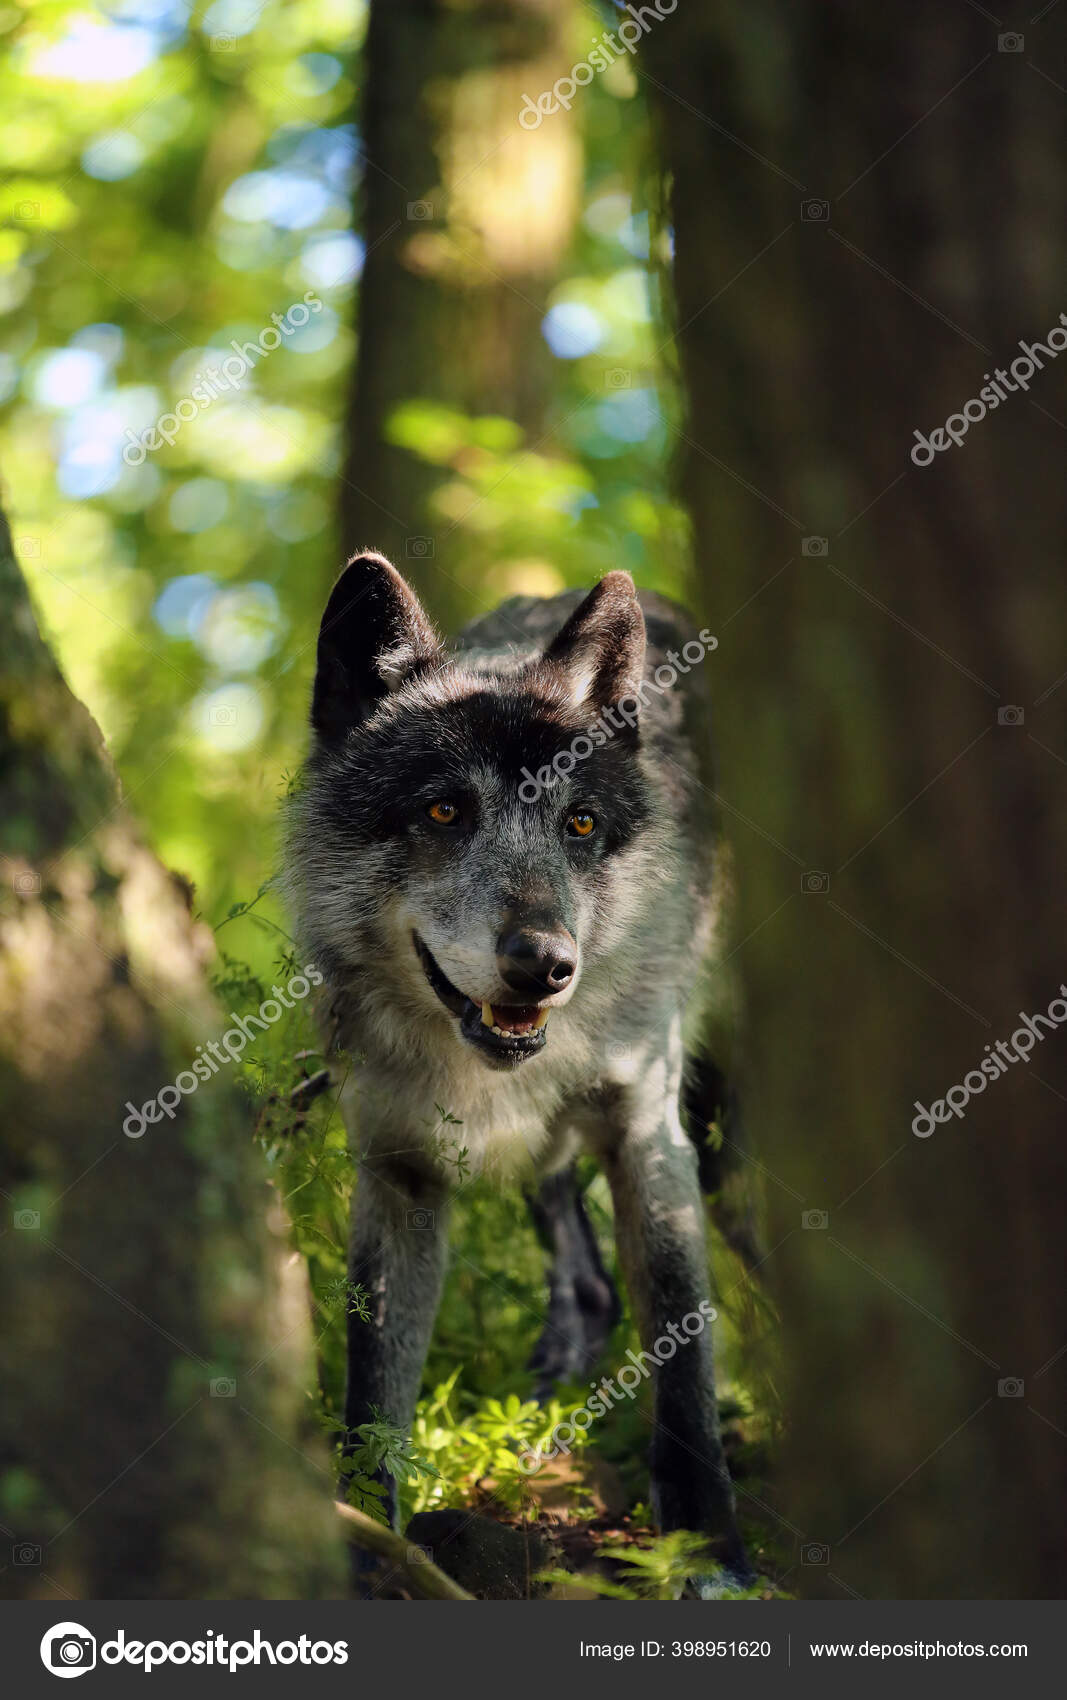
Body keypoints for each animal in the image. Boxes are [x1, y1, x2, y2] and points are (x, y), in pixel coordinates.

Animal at [287, 551, 749, 1582]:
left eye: (578, 823)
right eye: (443, 809)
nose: (544, 965)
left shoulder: (647, 1136)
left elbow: (683, 1344)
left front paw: (709, 1545)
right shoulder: (397, 1174)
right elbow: (373, 1387)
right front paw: (372, 1542)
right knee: (581, 1269)